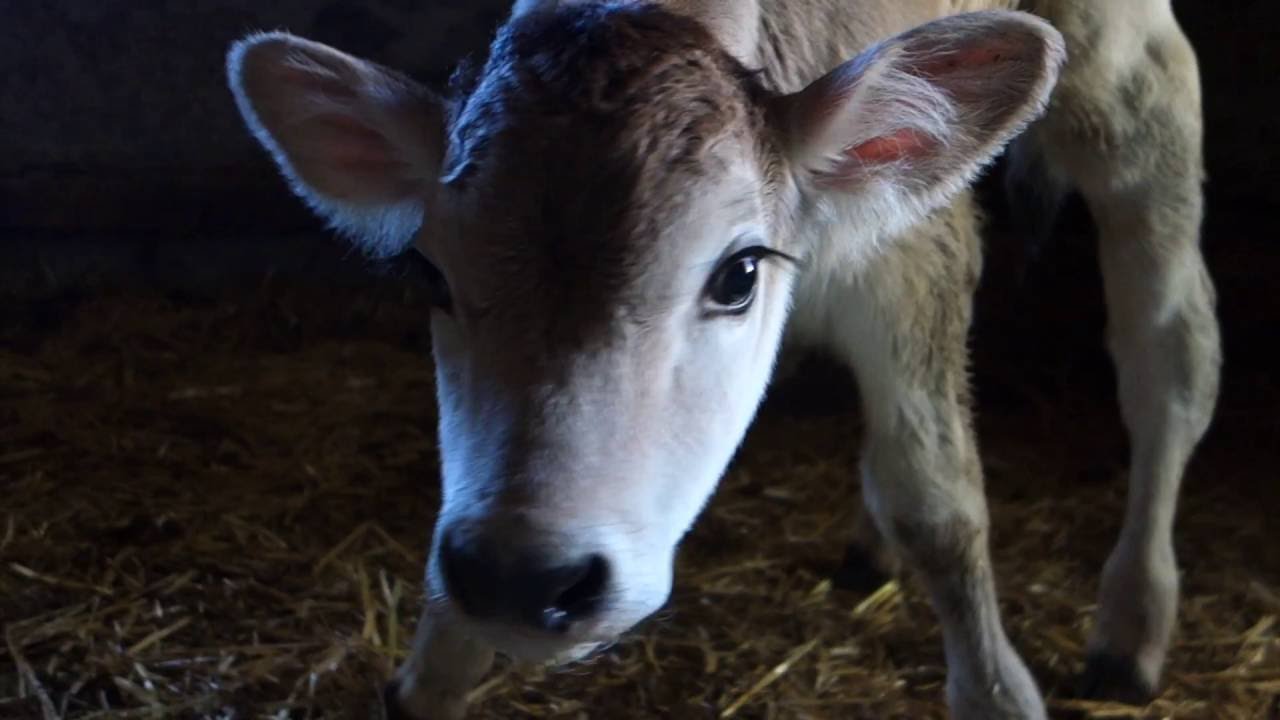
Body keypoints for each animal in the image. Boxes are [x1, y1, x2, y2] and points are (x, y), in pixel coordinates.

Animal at [225, 1, 1220, 717]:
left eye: (738, 274)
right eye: (430, 274)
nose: (523, 578)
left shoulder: (915, 249)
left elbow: (938, 499)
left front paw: (996, 691)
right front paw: (435, 669)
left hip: (1125, 72)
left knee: (1169, 350)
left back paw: (1133, 623)